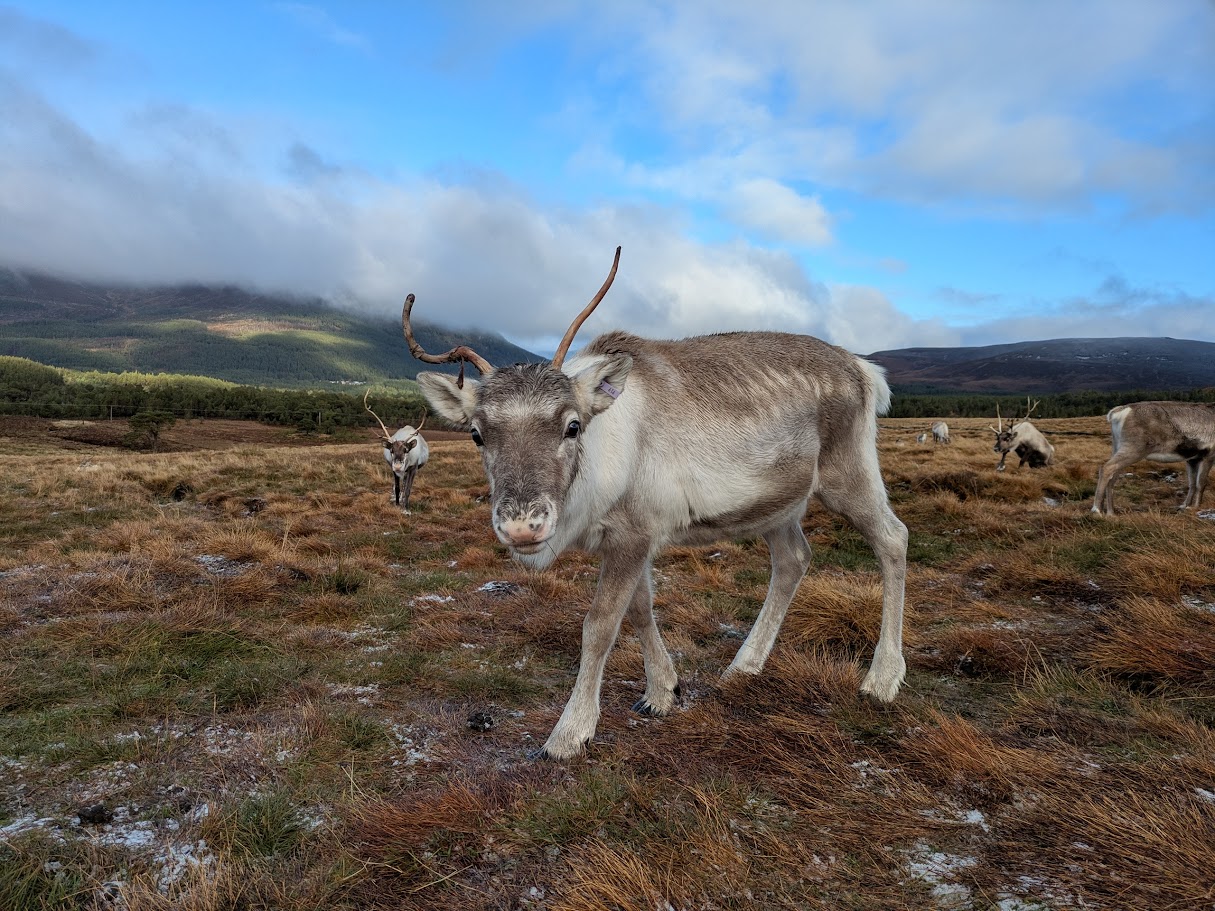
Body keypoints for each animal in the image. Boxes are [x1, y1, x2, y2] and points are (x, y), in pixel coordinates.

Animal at [403, 247, 908, 760]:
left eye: (571, 425)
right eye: (476, 433)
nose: (523, 527)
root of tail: (865, 369)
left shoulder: (633, 534)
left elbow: (601, 624)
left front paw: (570, 732)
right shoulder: (632, 535)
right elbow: (641, 608)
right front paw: (663, 691)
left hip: (849, 474)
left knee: (893, 538)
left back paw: (882, 679)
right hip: (778, 504)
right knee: (793, 559)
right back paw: (744, 666)